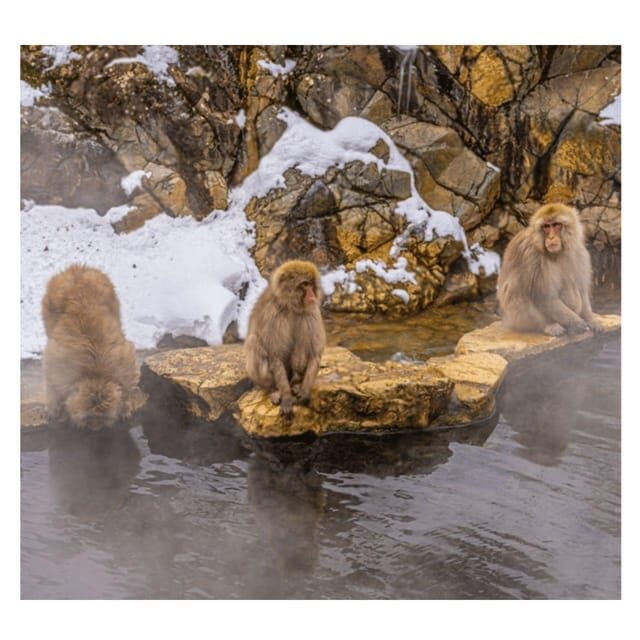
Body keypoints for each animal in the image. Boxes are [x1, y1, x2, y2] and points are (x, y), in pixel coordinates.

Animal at [42, 264, 141, 430]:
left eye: (103, 417)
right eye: (87, 417)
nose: (95, 428)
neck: (95, 374)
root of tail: (77, 268)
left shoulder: (125, 368)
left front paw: (125, 407)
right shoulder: (59, 368)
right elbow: (52, 383)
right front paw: (54, 409)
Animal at [245, 260, 326, 417]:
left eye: (311, 284)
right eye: (304, 284)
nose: (311, 295)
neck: (291, 306)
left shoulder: (311, 311)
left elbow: (314, 353)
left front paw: (304, 391)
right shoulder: (274, 315)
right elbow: (275, 355)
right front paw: (287, 397)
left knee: (300, 345)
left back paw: (295, 383)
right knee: (254, 342)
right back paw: (273, 389)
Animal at [497, 203, 603, 336]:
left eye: (557, 225)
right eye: (546, 227)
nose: (551, 237)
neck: (557, 253)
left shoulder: (580, 253)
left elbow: (582, 292)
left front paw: (591, 320)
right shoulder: (532, 255)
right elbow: (544, 296)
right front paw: (576, 322)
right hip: (515, 319)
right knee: (515, 287)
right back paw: (548, 325)